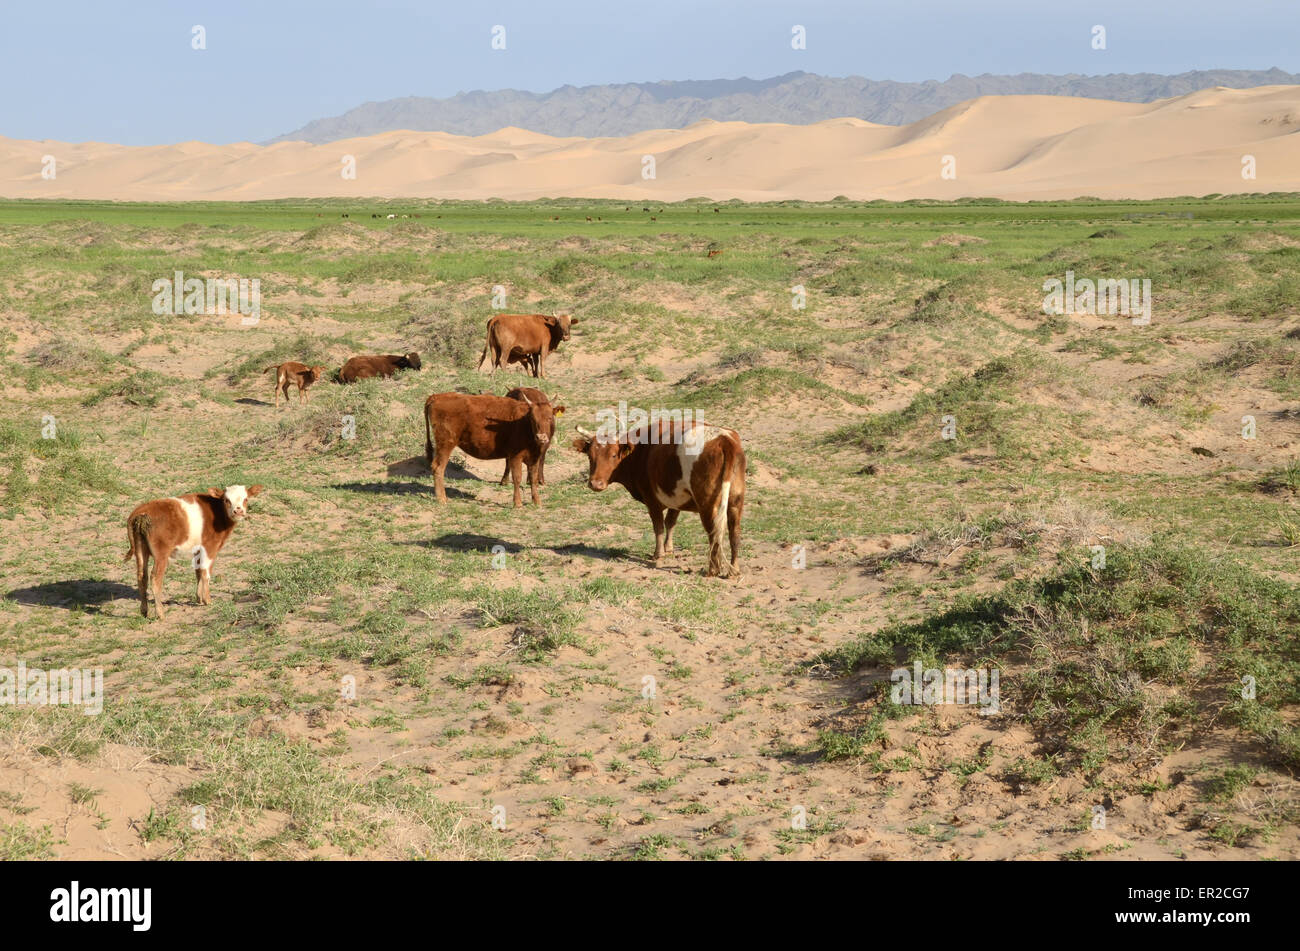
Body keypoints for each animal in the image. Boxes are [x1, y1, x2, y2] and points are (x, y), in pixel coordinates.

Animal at [123, 485, 263, 619]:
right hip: (161, 554)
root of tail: (141, 513)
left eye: (246, 499)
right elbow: (206, 572)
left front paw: (199, 598)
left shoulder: (198, 549)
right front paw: (207, 600)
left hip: (141, 549)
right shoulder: (210, 546)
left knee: (142, 577)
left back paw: (144, 611)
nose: (238, 510)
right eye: (226, 500)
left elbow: (198, 571)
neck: (217, 512)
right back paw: (160, 613)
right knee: (155, 578)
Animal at [425, 392, 562, 507]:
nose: (541, 437)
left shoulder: (534, 457)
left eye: (550, 418)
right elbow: (517, 478)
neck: (523, 424)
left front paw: (537, 502)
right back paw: (442, 499)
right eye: (533, 419)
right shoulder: (515, 456)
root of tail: (437, 396)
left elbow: (533, 479)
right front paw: (517, 503)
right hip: (445, 444)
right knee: (438, 468)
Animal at [571, 418, 745, 578]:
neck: (642, 450)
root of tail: (723, 439)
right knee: (734, 533)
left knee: (714, 534)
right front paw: (669, 548)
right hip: (735, 501)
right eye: (590, 456)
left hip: (707, 505)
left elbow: (658, 527)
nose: (595, 483)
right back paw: (734, 570)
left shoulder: (652, 501)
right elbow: (670, 522)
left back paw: (713, 570)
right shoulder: (676, 498)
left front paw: (658, 554)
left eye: (613, 455)